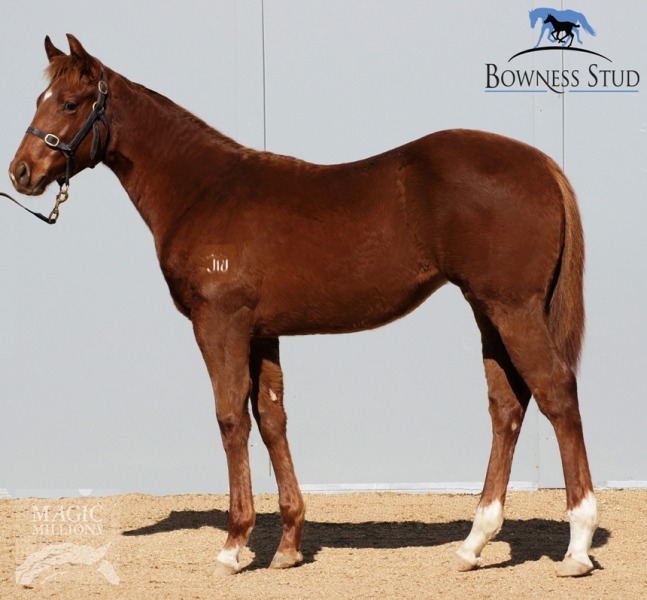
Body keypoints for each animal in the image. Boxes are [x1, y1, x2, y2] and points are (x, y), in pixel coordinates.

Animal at [8, 35, 597, 578]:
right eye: (40, 97)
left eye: (69, 103)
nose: (20, 172)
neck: (203, 190)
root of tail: (542, 163)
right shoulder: (261, 332)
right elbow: (272, 419)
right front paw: (288, 546)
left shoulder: (219, 323)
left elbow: (230, 417)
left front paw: (233, 546)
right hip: (488, 310)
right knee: (507, 407)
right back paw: (474, 543)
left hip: (514, 309)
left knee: (556, 393)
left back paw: (576, 546)